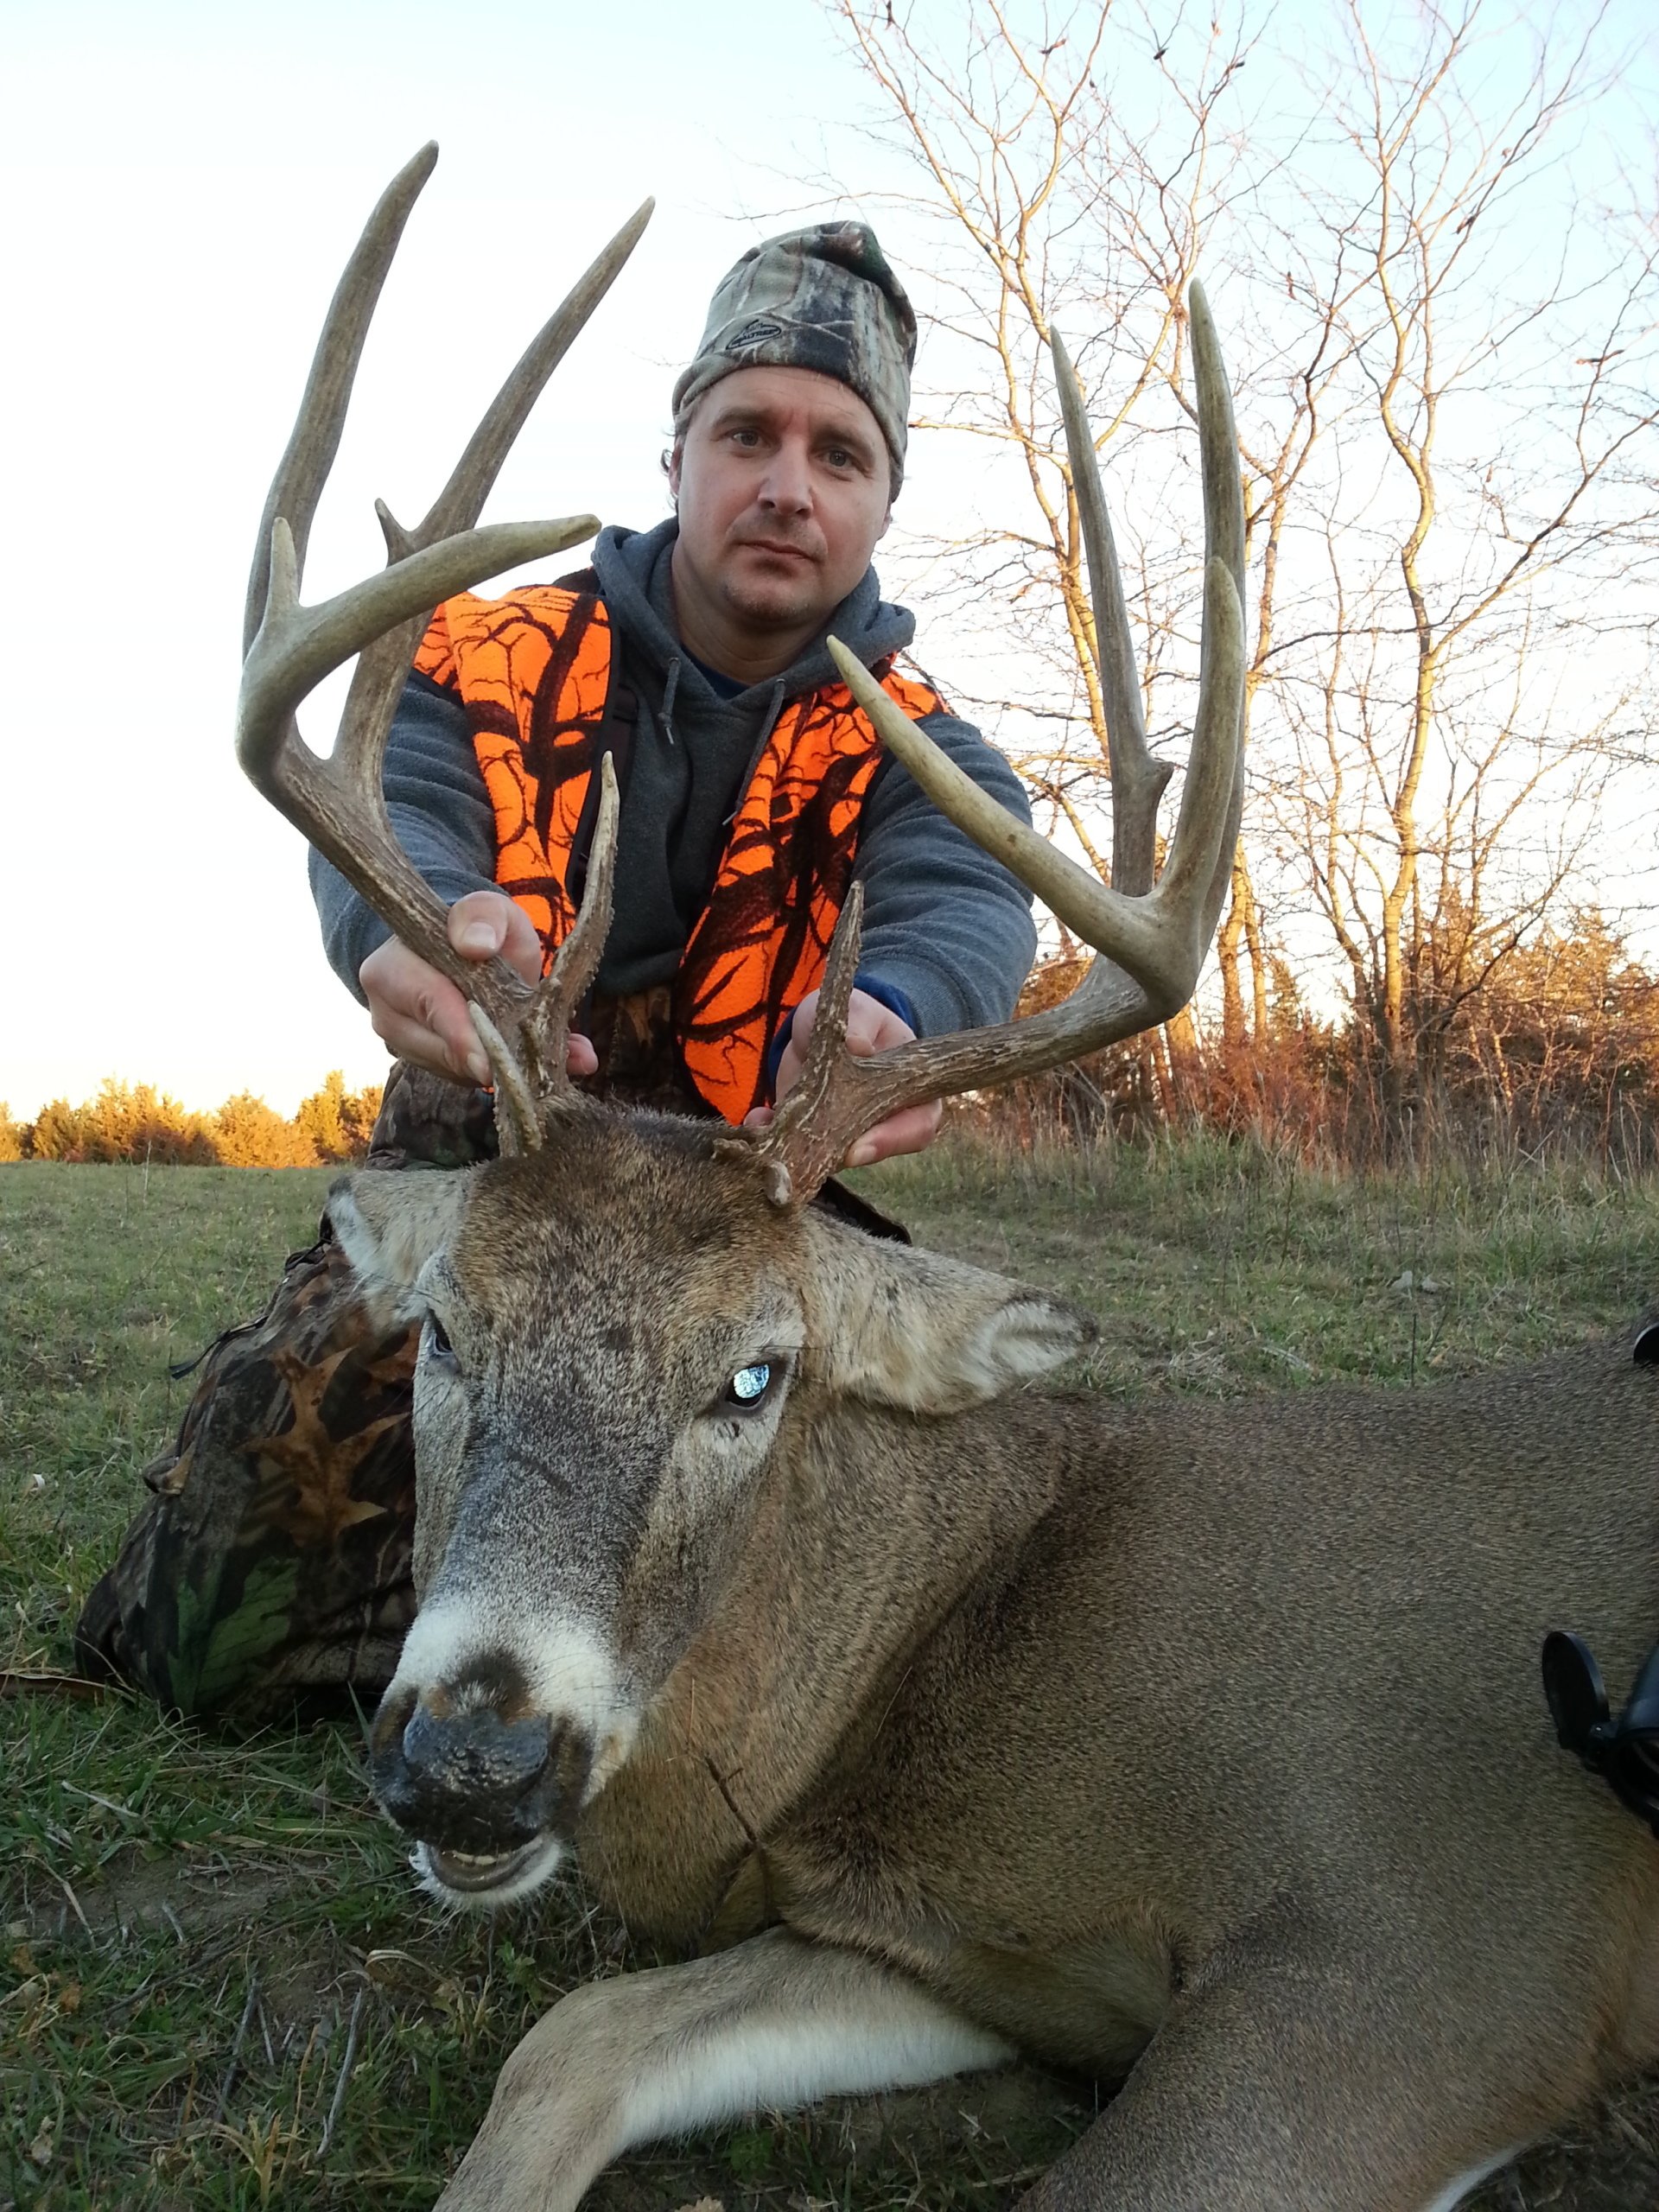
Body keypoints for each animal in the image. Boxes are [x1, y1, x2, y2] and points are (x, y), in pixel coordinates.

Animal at [235, 146, 1659, 2212]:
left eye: (755, 1372)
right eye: (439, 1333)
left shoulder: (1426, 1934)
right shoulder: (932, 1944)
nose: (473, 1767)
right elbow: (570, 2045)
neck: (965, 1652)